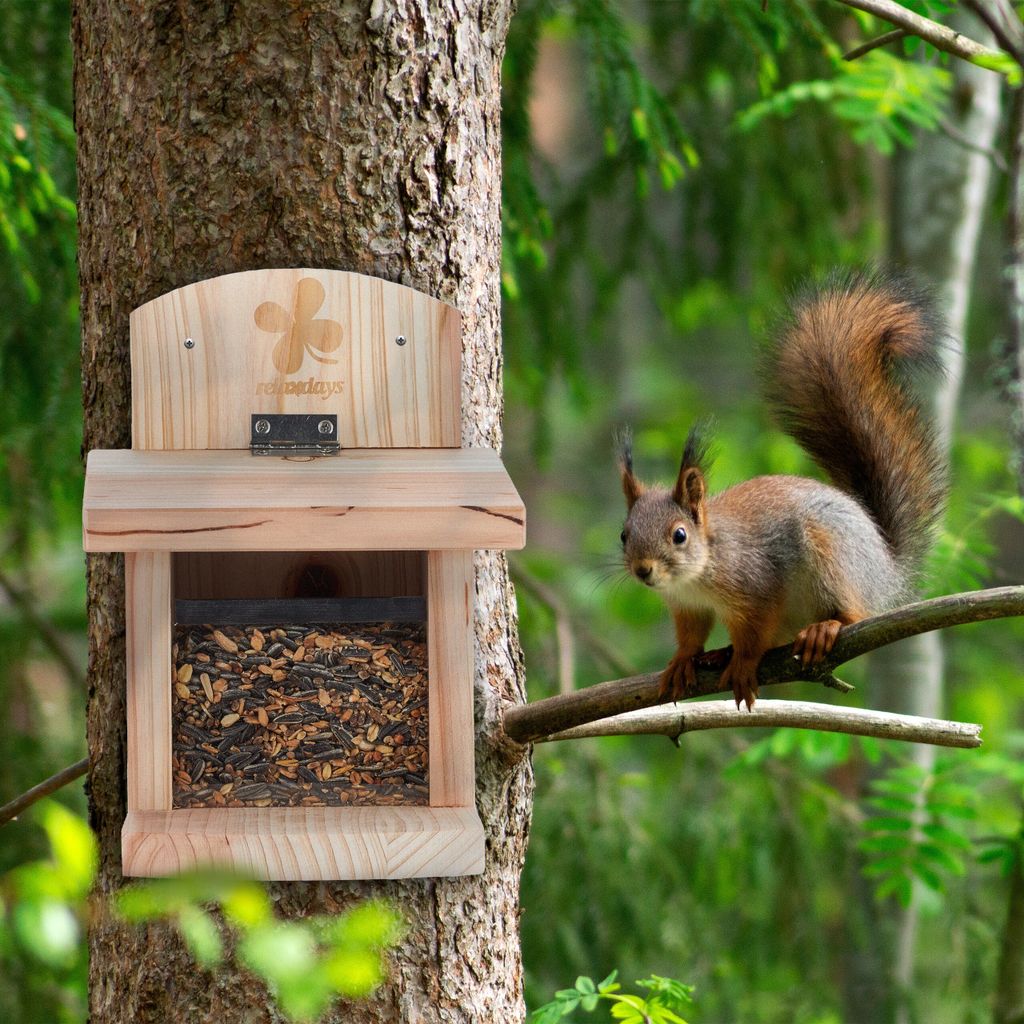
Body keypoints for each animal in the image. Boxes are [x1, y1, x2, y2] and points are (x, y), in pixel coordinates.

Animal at [618, 270, 947, 710]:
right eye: (624, 535)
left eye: (679, 535)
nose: (643, 570)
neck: (700, 570)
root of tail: (886, 569)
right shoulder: (687, 608)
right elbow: (691, 636)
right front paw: (683, 661)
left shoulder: (757, 585)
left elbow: (755, 632)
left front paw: (743, 662)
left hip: (833, 552)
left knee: (856, 613)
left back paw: (825, 628)